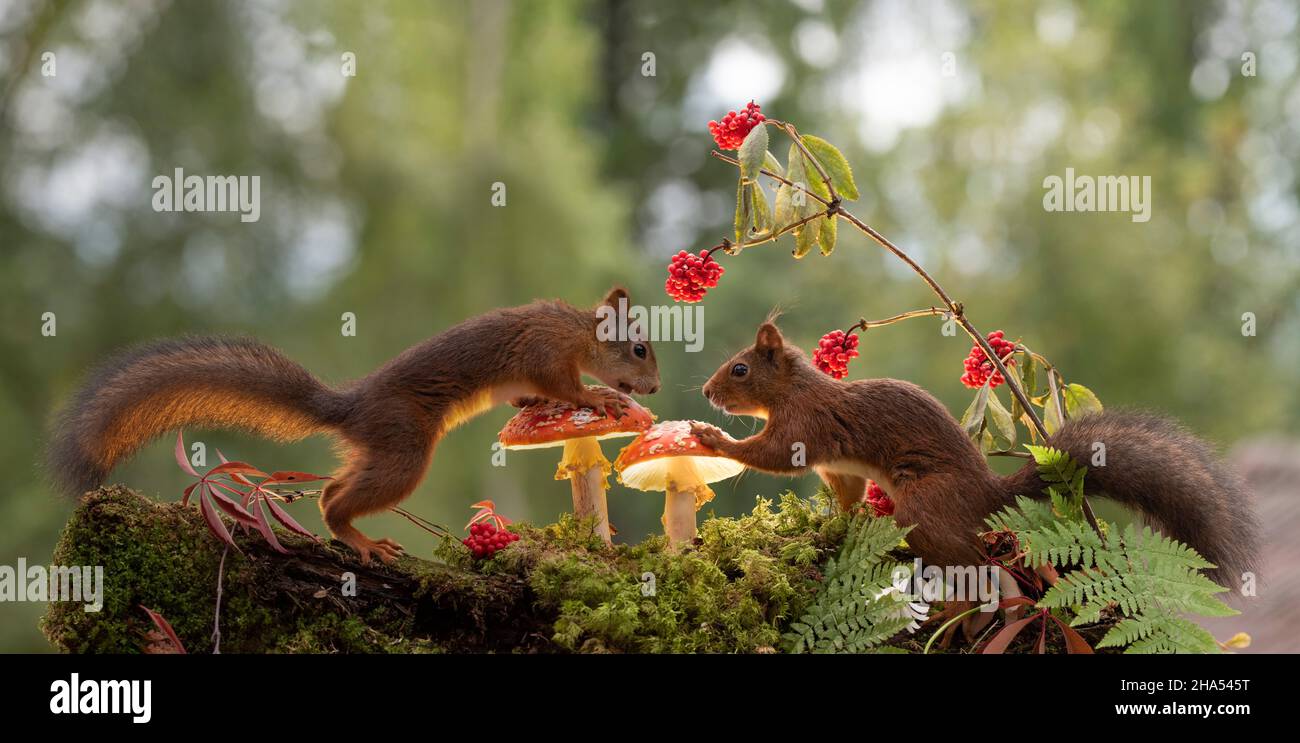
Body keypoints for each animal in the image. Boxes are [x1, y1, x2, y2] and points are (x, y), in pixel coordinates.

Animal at [47, 287, 660, 564]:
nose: (653, 388)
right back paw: (363, 542)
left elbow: (526, 397)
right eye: (639, 349)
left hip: (381, 452)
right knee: (336, 503)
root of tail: (350, 406)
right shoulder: (545, 352)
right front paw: (598, 396)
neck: (577, 331)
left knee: (332, 490)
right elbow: (564, 387)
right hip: (404, 450)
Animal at [689, 320, 1260, 587]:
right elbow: (847, 495)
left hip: (923, 501)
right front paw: (836, 522)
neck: (793, 389)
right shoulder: (837, 466)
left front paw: (713, 439)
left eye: (740, 369)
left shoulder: (804, 426)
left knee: (967, 559)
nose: (708, 393)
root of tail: (989, 496)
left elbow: (771, 456)